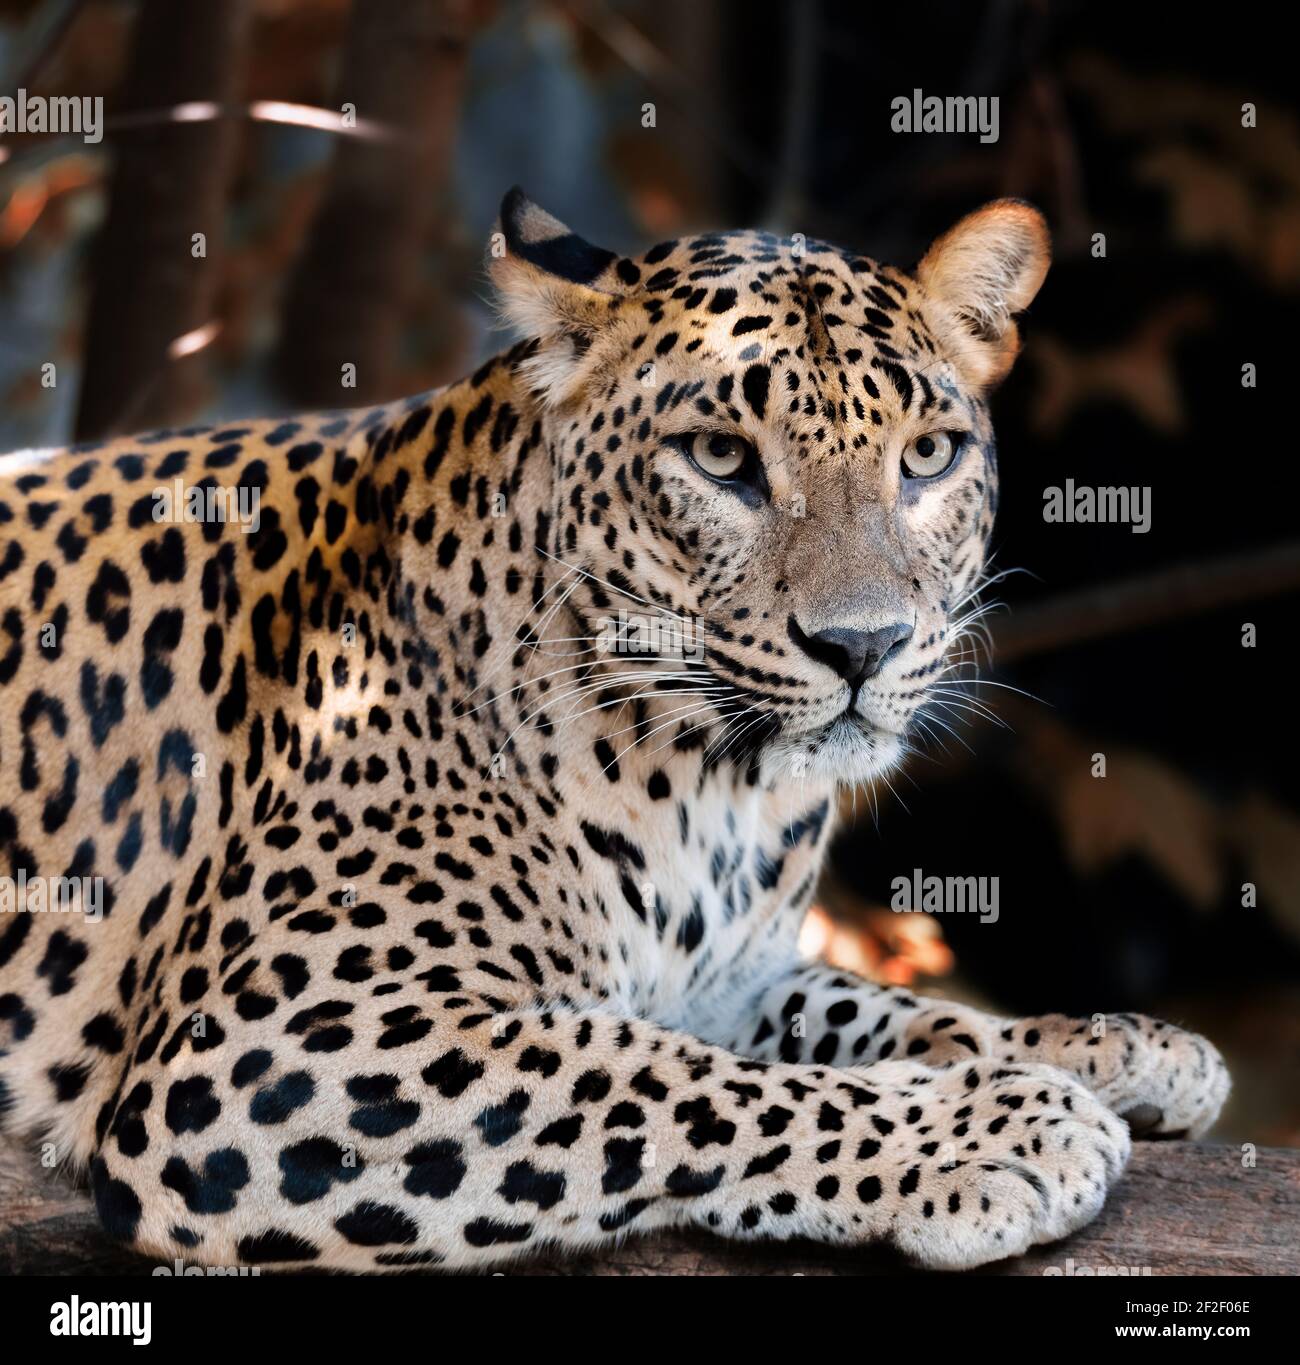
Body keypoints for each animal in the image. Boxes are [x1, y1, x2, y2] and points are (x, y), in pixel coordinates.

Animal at [0, 188, 1230, 1273]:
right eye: (721, 457)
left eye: (928, 455)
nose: (863, 646)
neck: (717, 791)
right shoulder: (272, 1042)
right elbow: (658, 1076)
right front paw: (1002, 1132)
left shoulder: (726, 975)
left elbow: (862, 1007)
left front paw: (1106, 1046)